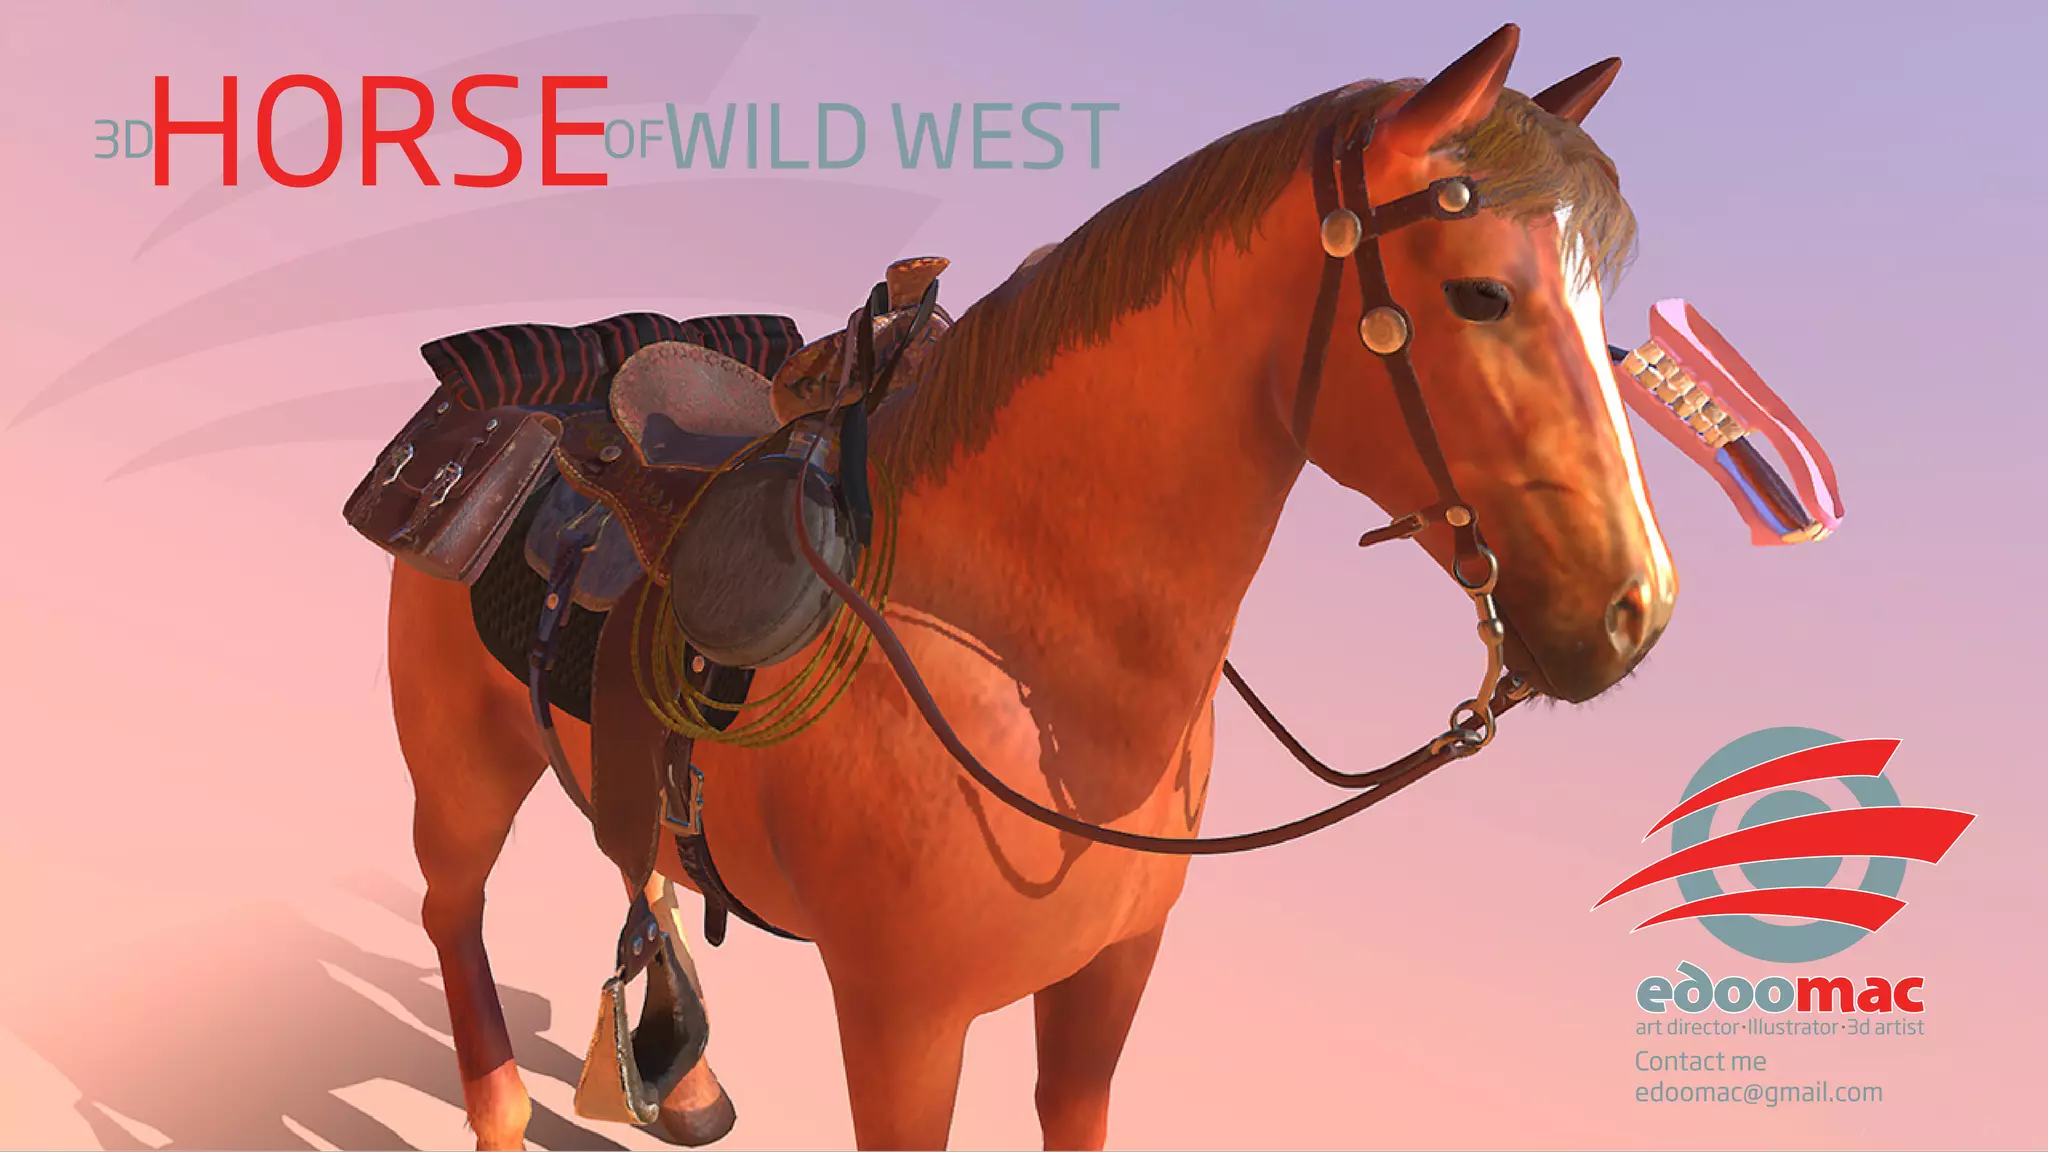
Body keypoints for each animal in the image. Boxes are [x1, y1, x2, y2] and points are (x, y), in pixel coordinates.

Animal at [386, 24, 1677, 1151]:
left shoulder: (1109, 978)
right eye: (1480, 295)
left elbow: (1074, 1111)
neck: (1024, 661)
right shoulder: (900, 1021)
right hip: (461, 771)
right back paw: (502, 1112)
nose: (1636, 610)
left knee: (639, 864)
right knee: (453, 913)